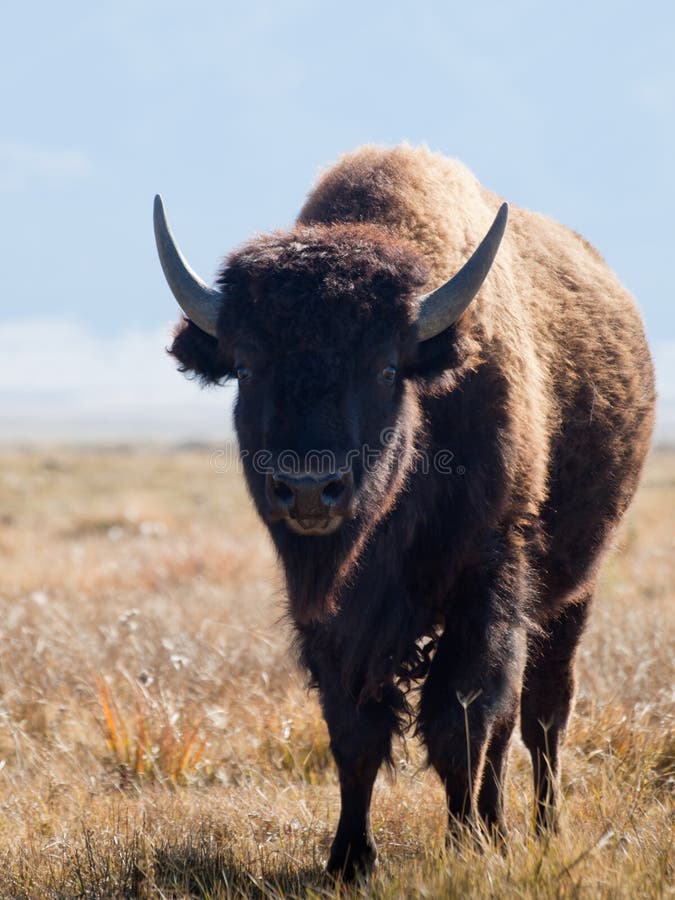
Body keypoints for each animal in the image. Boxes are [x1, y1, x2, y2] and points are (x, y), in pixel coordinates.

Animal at [154, 145, 655, 879]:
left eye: (386, 369)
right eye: (245, 367)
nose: (310, 490)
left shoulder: (488, 583)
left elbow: (459, 722)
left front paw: (464, 849)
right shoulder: (334, 615)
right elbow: (356, 733)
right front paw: (349, 860)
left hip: (572, 592)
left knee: (540, 713)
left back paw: (536, 829)